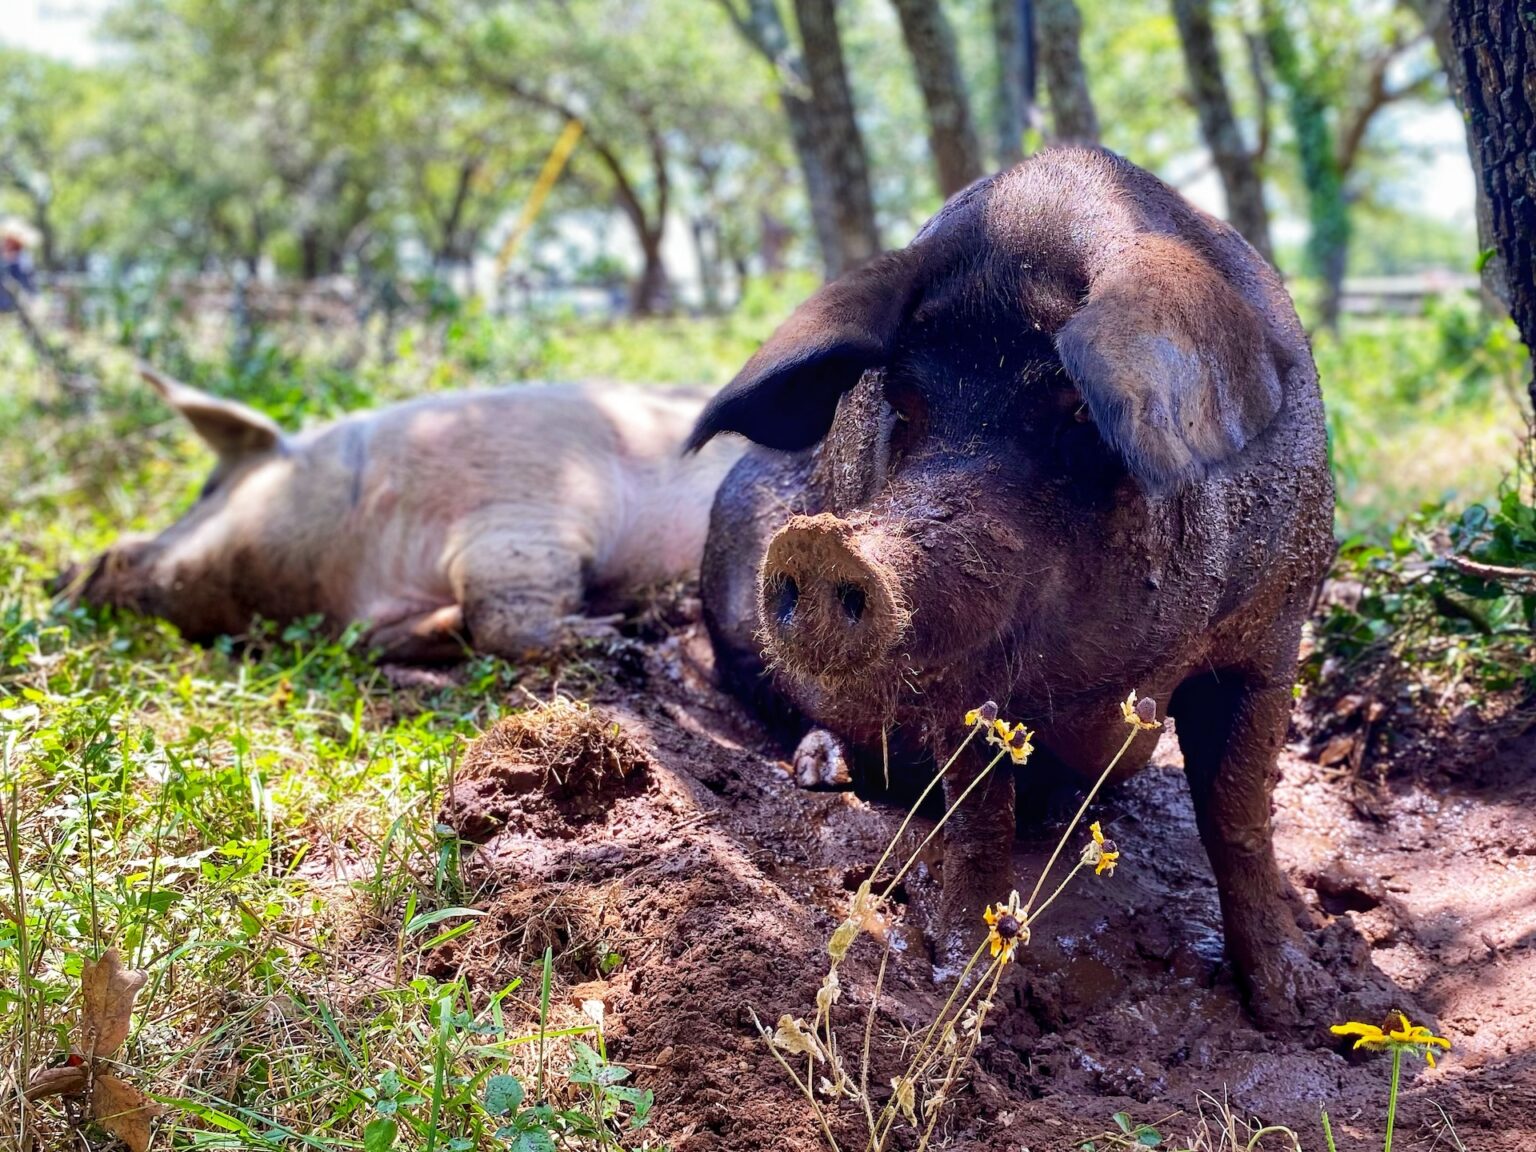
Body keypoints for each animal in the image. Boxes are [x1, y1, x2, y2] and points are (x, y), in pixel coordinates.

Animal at [69, 368, 743, 660]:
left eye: (210, 488)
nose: (70, 574)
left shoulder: (527, 498)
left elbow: (502, 611)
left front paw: (616, 636)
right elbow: (423, 634)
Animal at [688, 148, 1336, 1028]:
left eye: (1081, 415)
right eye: (901, 404)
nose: (822, 543)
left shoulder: (1275, 623)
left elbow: (1239, 811)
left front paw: (1299, 1006)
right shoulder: (959, 673)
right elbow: (977, 816)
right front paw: (967, 988)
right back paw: (824, 771)